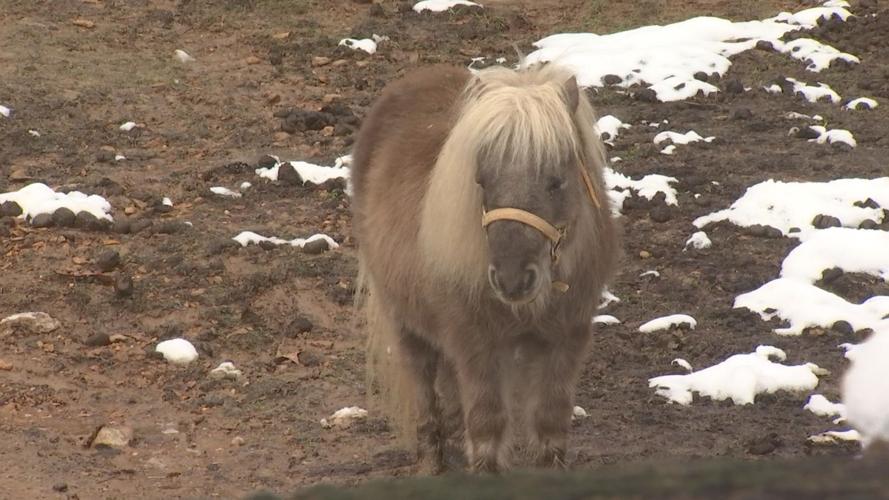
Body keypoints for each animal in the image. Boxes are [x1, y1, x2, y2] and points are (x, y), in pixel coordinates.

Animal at [350, 62, 618, 474]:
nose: (511, 279)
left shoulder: (566, 340)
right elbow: (487, 430)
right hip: (404, 321)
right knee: (425, 390)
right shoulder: (476, 343)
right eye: (481, 181)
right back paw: (431, 464)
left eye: (556, 182)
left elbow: (550, 425)